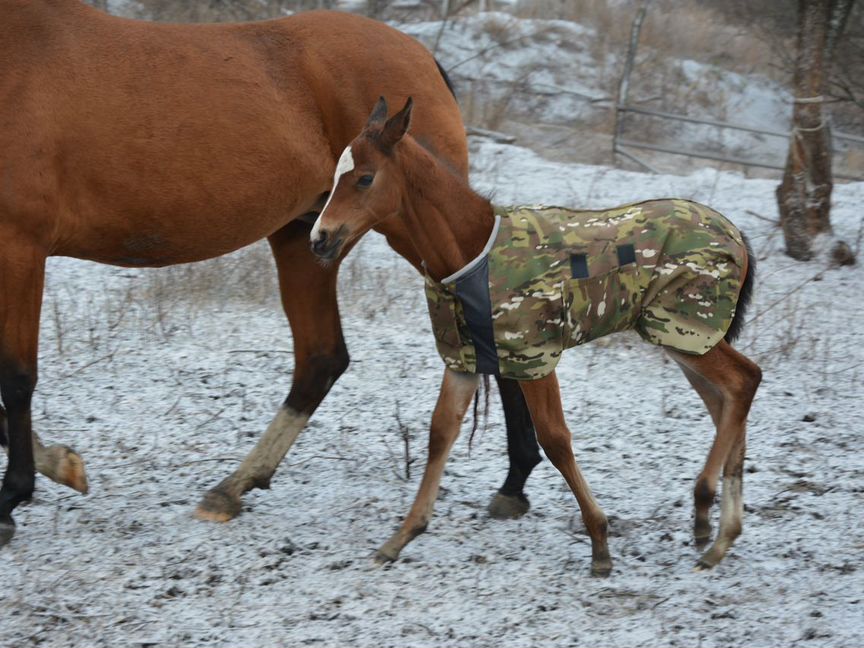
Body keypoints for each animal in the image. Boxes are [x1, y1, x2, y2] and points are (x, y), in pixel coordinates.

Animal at [310, 98, 764, 576]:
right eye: (336, 175)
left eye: (364, 177)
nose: (319, 239)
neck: (472, 252)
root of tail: (737, 235)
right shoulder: (464, 361)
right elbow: (440, 433)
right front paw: (398, 539)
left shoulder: (533, 357)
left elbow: (554, 439)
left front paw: (600, 544)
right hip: (680, 338)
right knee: (725, 401)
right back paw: (721, 536)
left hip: (685, 331)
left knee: (744, 381)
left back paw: (704, 510)